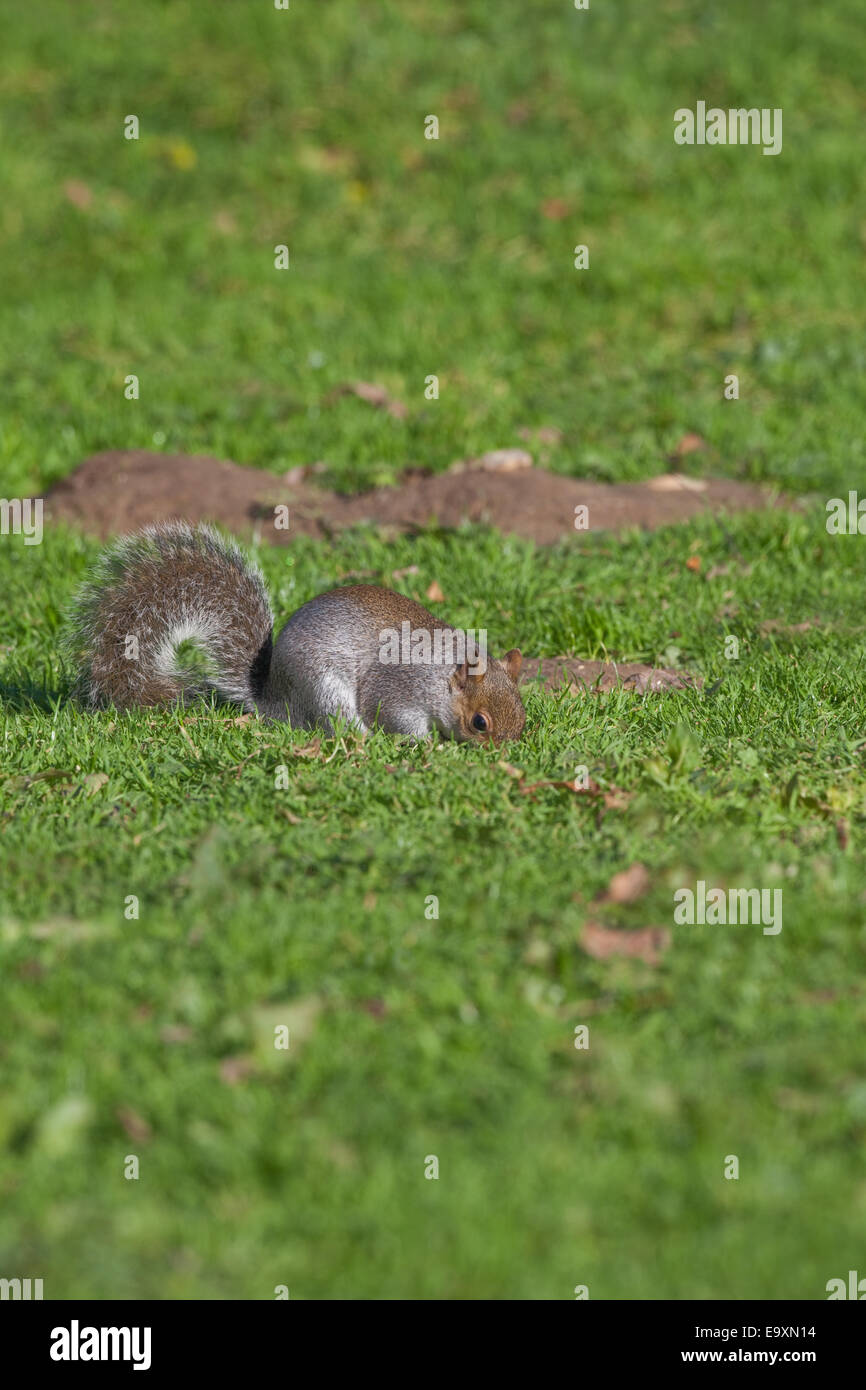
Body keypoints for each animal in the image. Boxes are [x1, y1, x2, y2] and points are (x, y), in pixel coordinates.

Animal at [65, 521, 526, 743]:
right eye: (480, 723)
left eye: (523, 718)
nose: (501, 754)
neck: (442, 676)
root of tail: (273, 700)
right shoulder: (399, 688)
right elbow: (394, 716)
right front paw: (428, 745)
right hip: (323, 688)